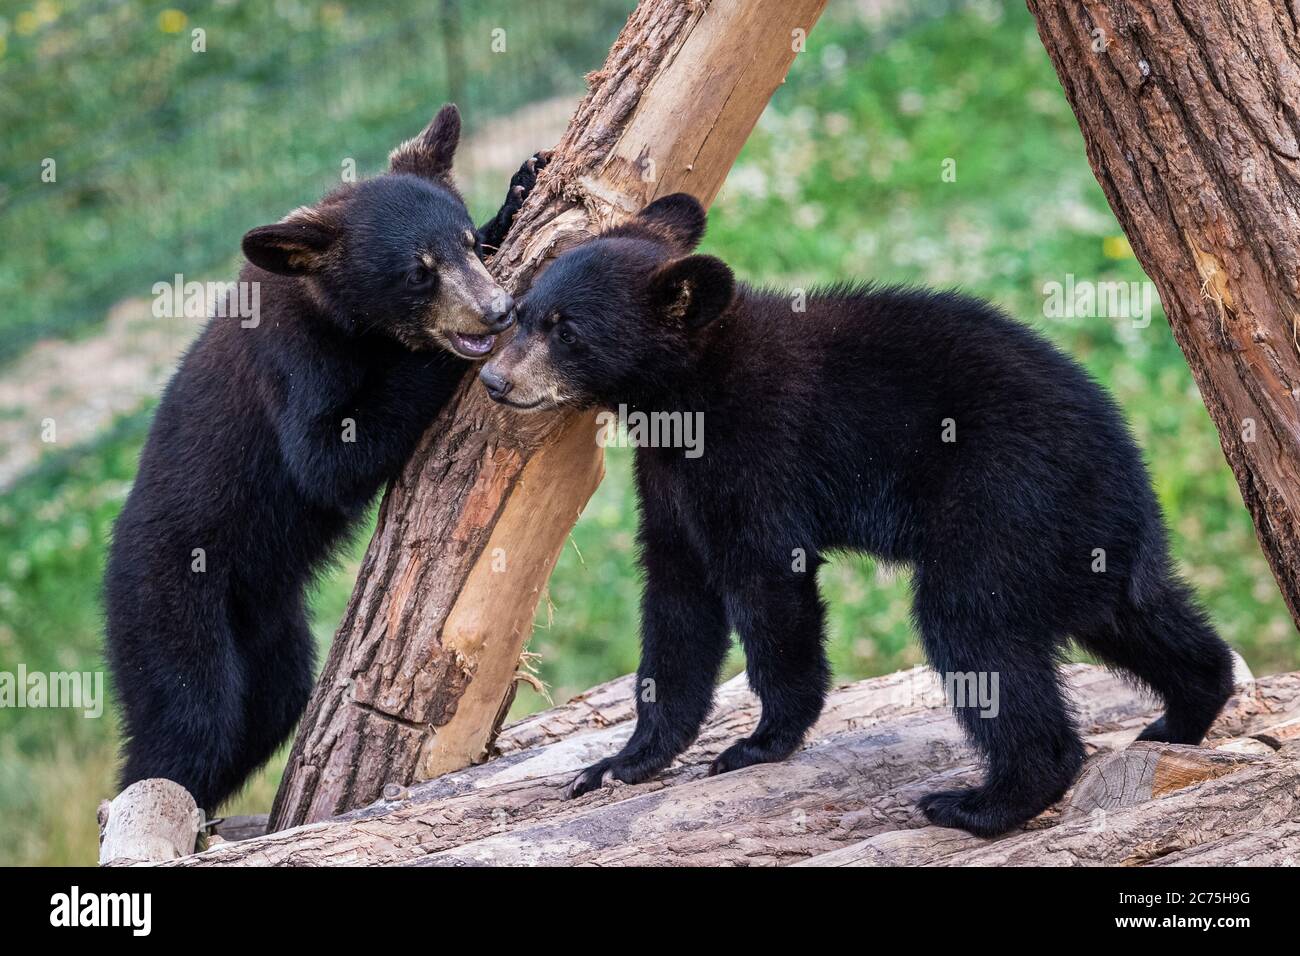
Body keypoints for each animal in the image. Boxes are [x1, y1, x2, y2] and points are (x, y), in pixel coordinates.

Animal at [105, 105, 546, 814]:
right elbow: (325, 458)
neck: (333, 311)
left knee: (269, 707)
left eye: (465, 248)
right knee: (187, 723)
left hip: (269, 626)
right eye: (417, 271)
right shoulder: (294, 361)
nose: (498, 310)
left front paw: (518, 190)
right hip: (166, 605)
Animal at [477, 193, 1236, 837]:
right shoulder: (671, 481)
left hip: (1004, 500)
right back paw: (1183, 713)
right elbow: (676, 603)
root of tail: (1129, 470)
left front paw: (760, 743)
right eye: (523, 312)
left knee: (975, 630)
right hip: (1080, 542)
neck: (685, 394)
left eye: (565, 329)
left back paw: (982, 803)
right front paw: (622, 762)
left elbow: (768, 589)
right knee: (1142, 617)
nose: (493, 380)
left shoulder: (757, 454)